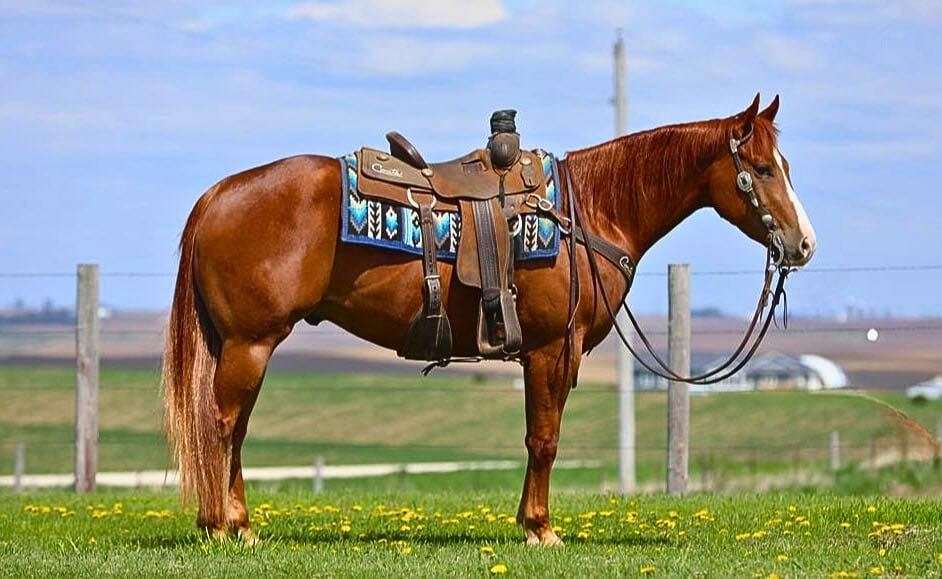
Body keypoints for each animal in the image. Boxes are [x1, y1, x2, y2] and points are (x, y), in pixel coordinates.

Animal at [161, 94, 816, 545]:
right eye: (762, 169)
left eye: (785, 165)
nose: (804, 244)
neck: (587, 212)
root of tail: (218, 194)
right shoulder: (553, 348)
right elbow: (545, 438)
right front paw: (541, 528)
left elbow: (538, 437)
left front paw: (531, 522)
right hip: (250, 343)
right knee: (221, 426)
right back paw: (222, 524)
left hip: (243, 345)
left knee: (235, 429)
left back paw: (241, 524)